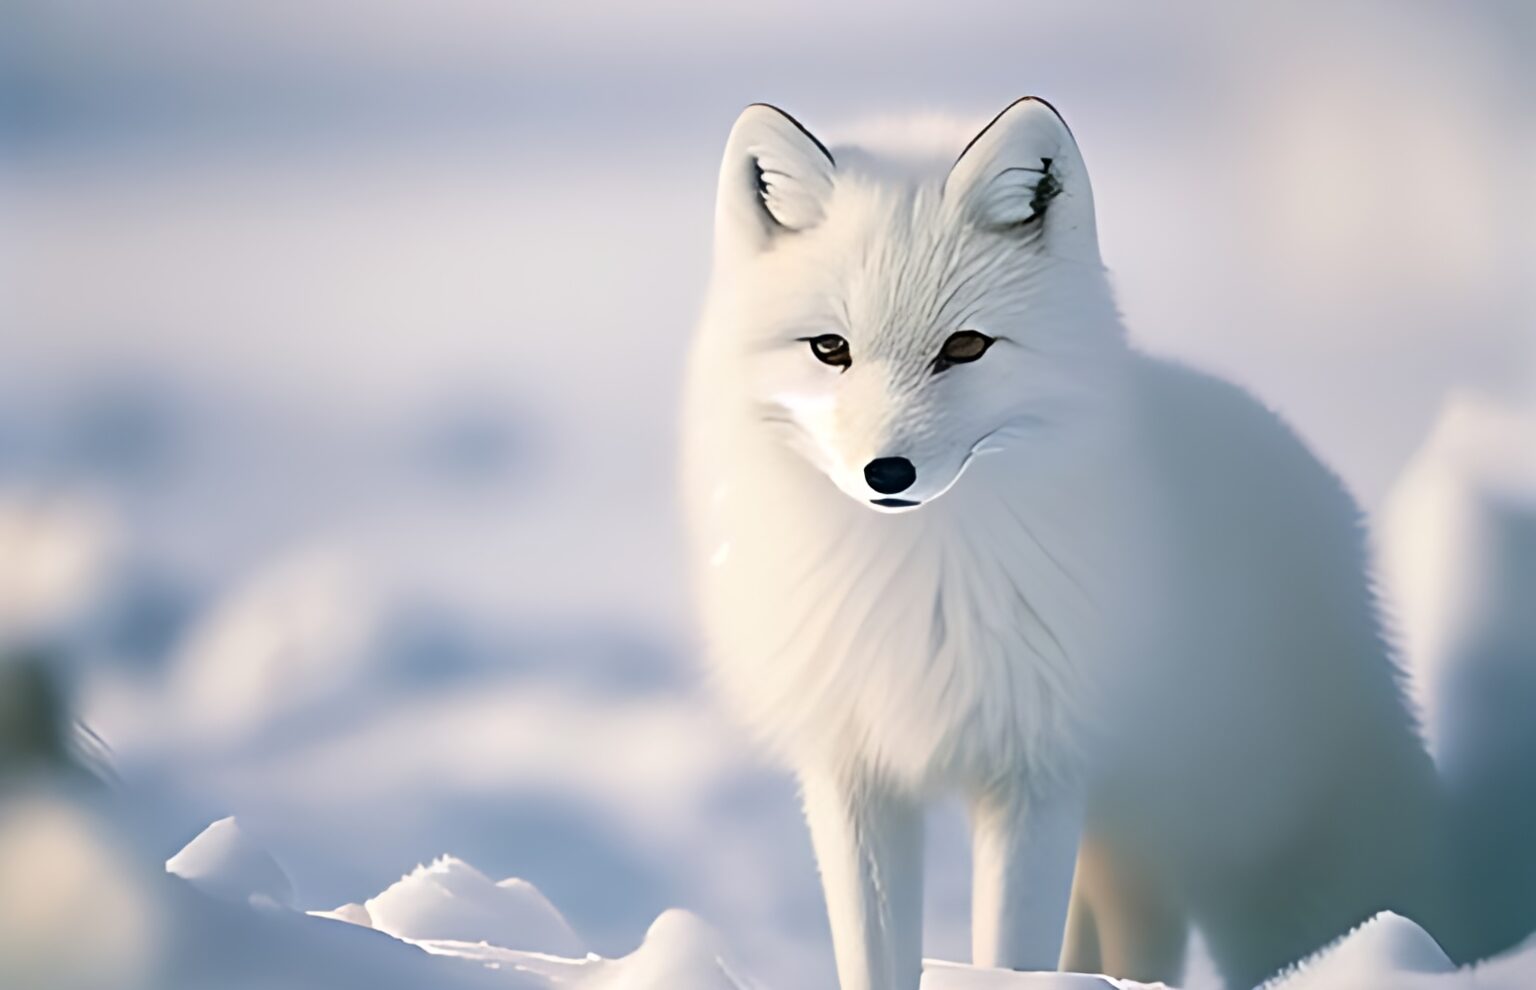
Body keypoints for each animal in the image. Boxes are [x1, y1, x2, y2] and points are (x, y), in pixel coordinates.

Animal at [681, 97, 1446, 990]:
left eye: (965, 347)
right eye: (830, 349)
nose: (887, 472)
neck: (920, 586)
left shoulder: (1035, 775)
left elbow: (1011, 957)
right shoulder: (856, 772)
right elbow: (872, 960)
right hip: (1131, 851)